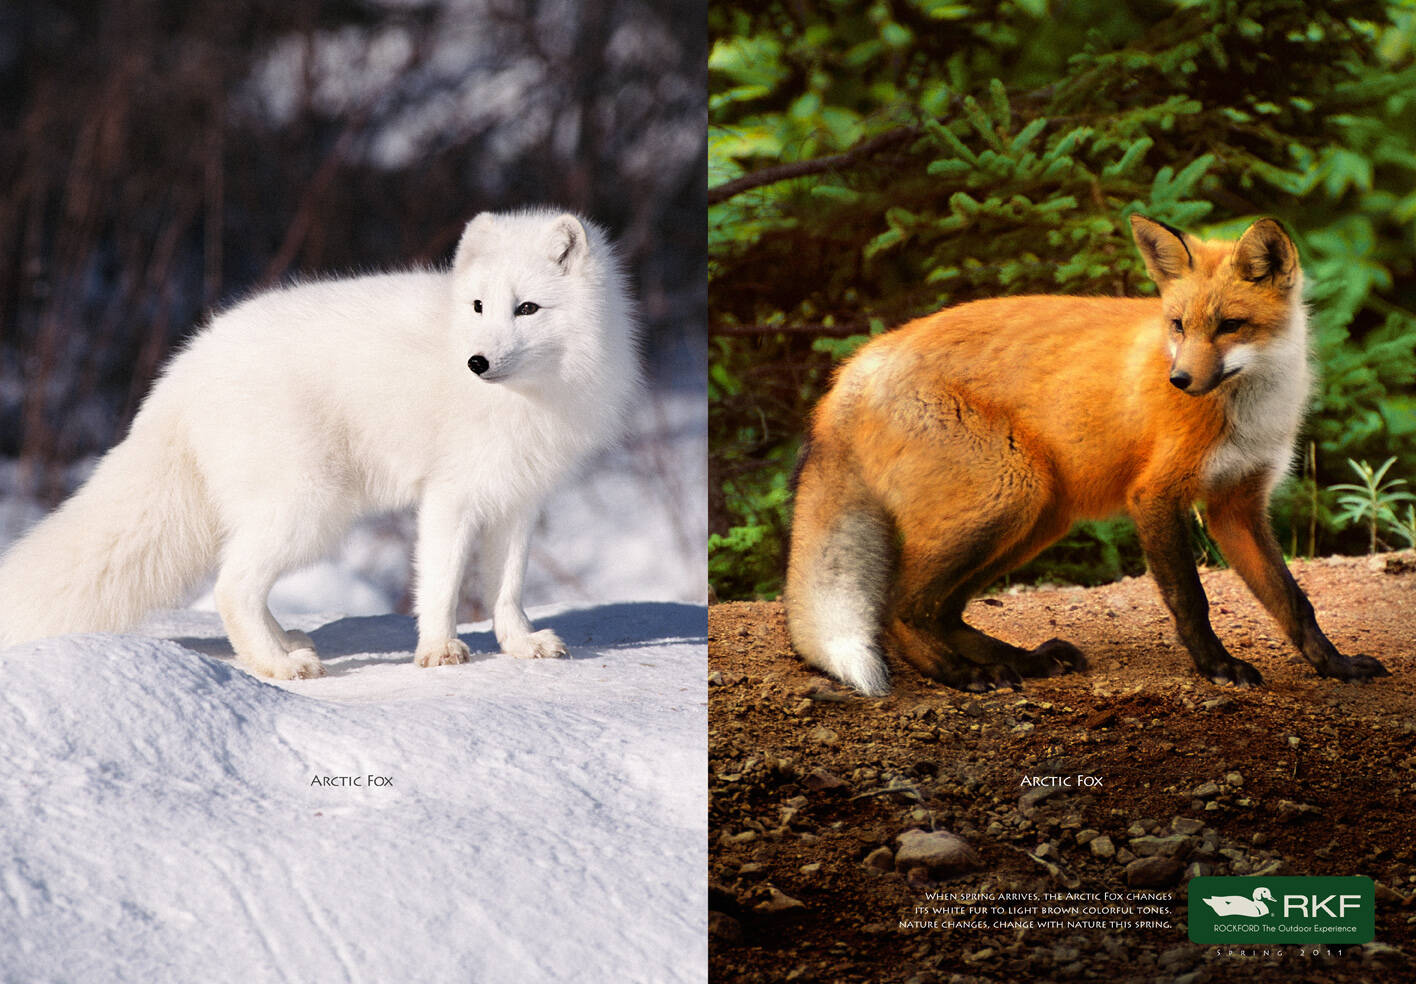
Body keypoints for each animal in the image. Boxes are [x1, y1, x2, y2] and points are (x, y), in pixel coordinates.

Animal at [0, 207, 640, 679]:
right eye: (479, 306)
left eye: (527, 308)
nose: (476, 362)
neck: (529, 397)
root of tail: (180, 373)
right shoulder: (450, 496)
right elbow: (441, 583)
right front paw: (438, 652)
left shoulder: (517, 497)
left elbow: (507, 588)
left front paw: (521, 645)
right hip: (313, 506)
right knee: (232, 586)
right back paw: (280, 665)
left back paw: (285, 644)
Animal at [786, 214, 1390, 695]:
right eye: (1179, 325)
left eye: (1230, 326)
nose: (1179, 380)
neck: (1247, 410)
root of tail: (851, 370)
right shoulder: (1155, 495)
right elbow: (1191, 600)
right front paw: (1217, 667)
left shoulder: (1236, 505)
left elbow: (1294, 602)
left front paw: (1335, 666)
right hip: (1009, 496)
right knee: (897, 608)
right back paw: (960, 674)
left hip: (1039, 517)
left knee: (944, 610)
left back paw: (1021, 659)